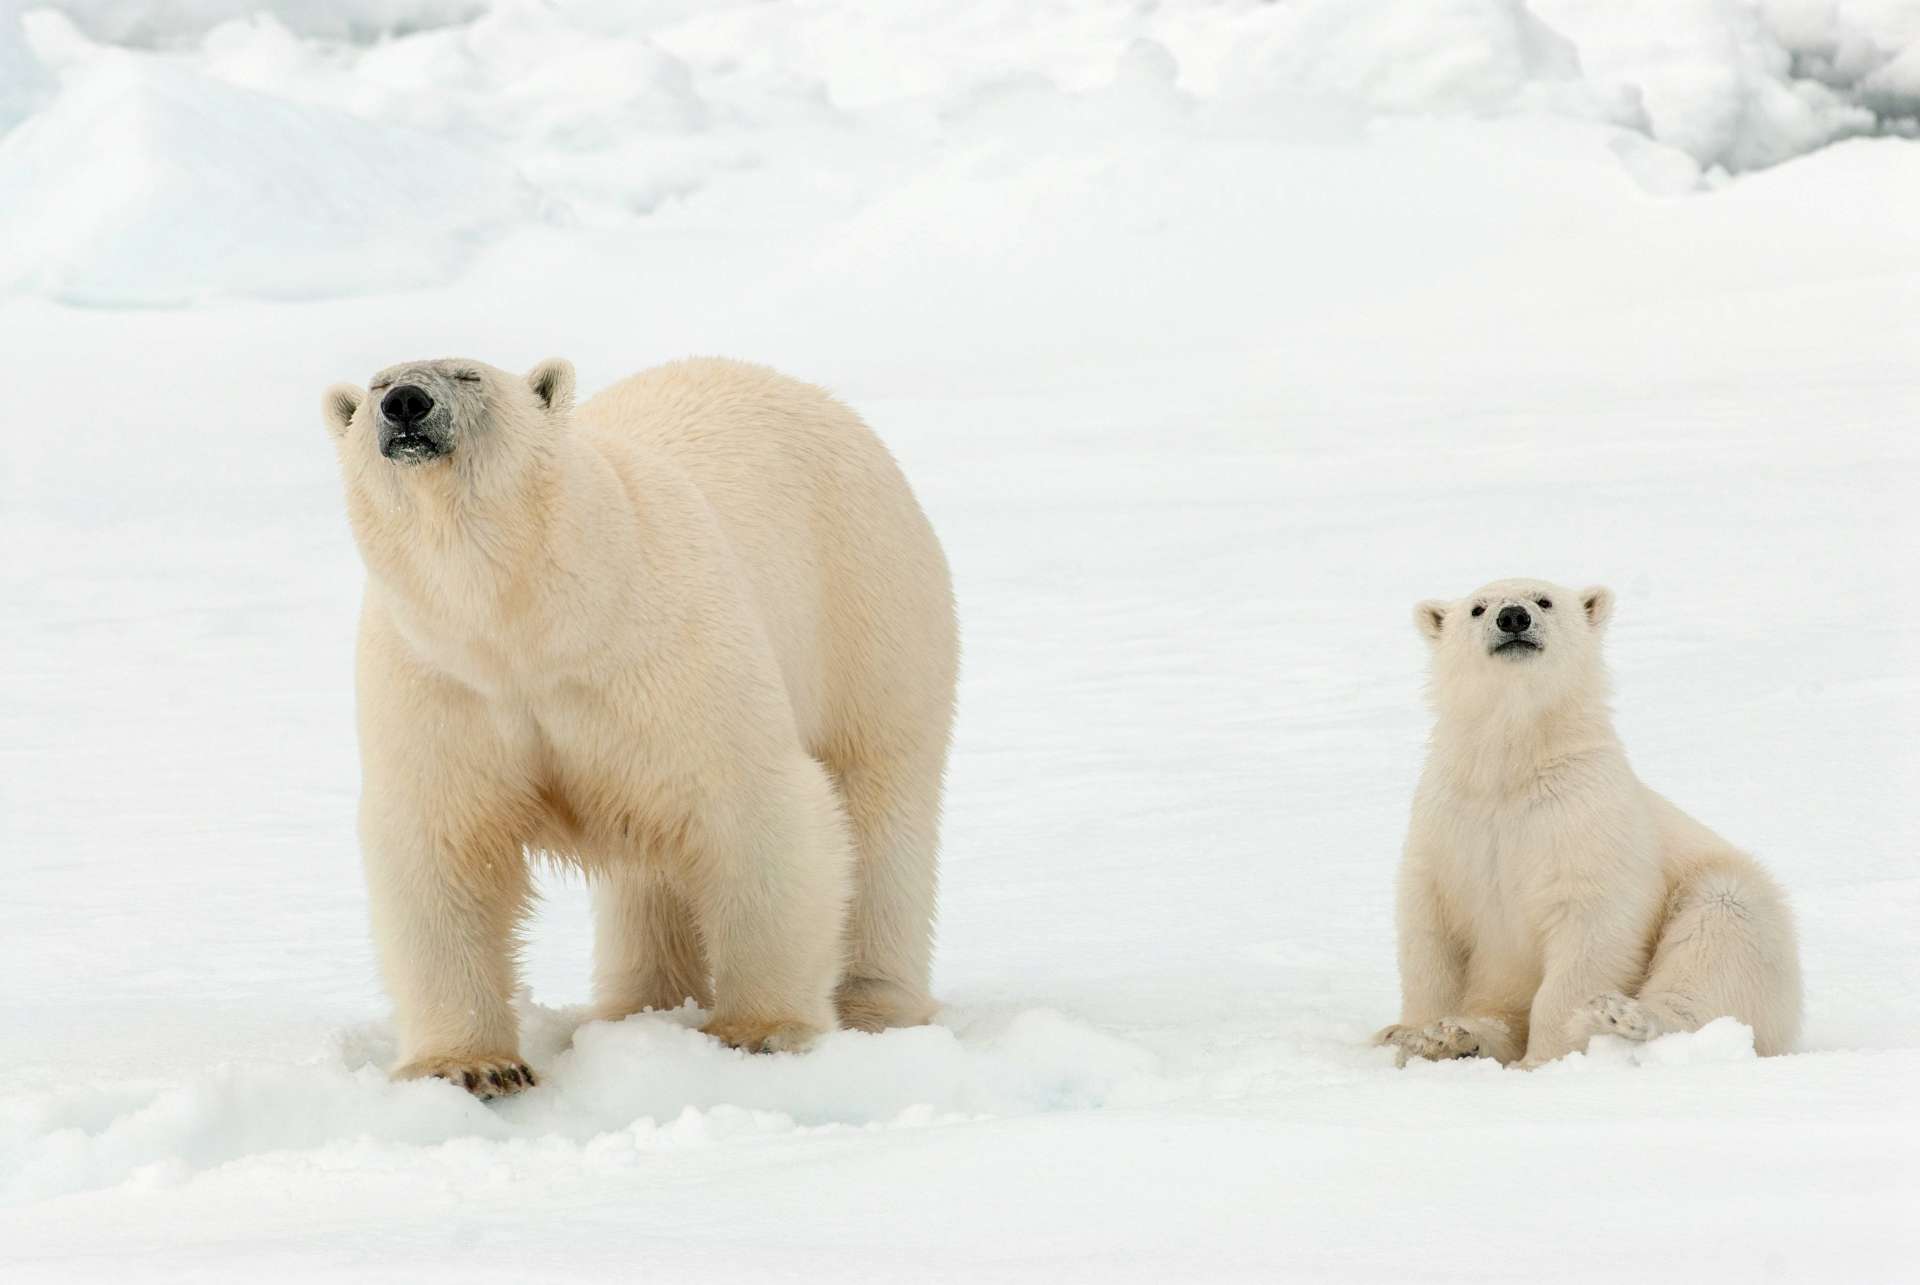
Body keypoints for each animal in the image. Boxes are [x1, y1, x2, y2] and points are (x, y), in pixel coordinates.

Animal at [321, 356, 958, 1097]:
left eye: (468, 374)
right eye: (375, 385)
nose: (405, 404)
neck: (527, 625)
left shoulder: (661, 647)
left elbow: (755, 807)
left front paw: (760, 1030)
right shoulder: (441, 681)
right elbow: (443, 844)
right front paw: (471, 1066)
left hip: (869, 604)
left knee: (880, 804)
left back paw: (874, 1006)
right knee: (649, 874)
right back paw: (635, 1007)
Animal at [1377, 577, 1801, 1069]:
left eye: (1544, 600)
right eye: (1477, 608)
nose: (1513, 617)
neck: (1513, 765)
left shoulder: (1584, 815)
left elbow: (1590, 924)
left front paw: (1547, 1057)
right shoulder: (1449, 820)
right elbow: (1429, 932)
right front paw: (1420, 1037)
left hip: (1728, 898)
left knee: (1719, 938)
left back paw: (1627, 1017)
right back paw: (1462, 1036)